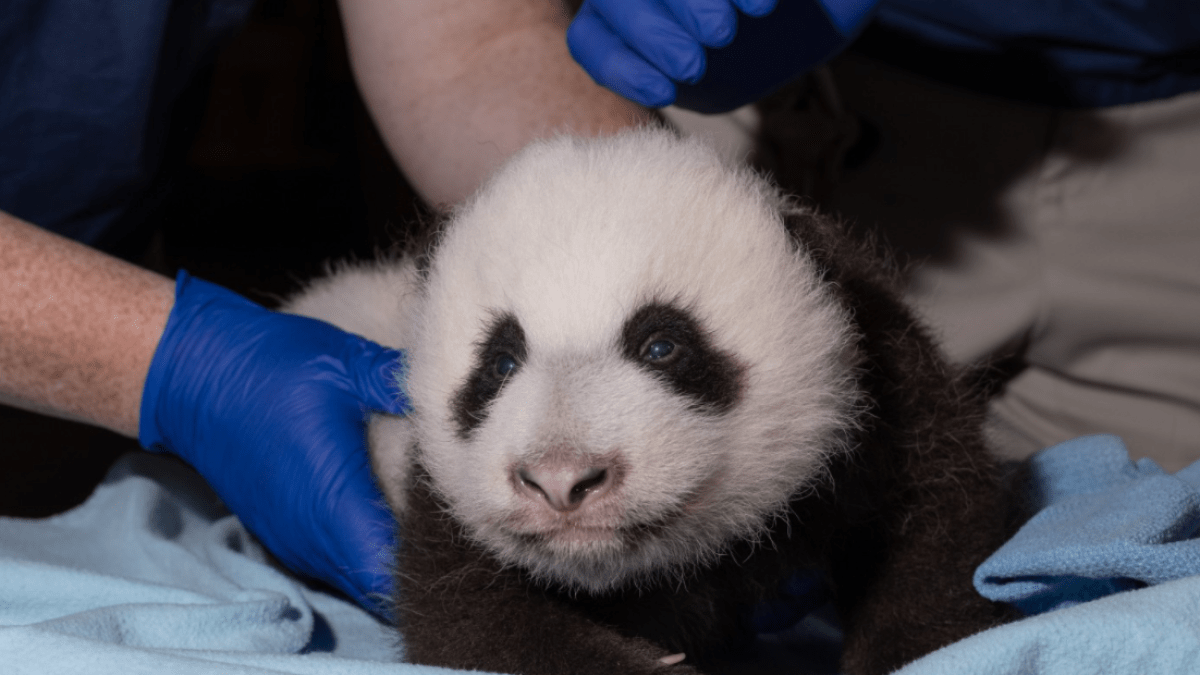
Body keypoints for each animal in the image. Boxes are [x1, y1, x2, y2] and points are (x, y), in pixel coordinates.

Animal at [285, 128, 1013, 675]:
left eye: (661, 345)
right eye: (500, 363)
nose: (561, 480)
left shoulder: (878, 376)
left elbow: (934, 524)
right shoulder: (440, 492)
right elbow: (470, 617)